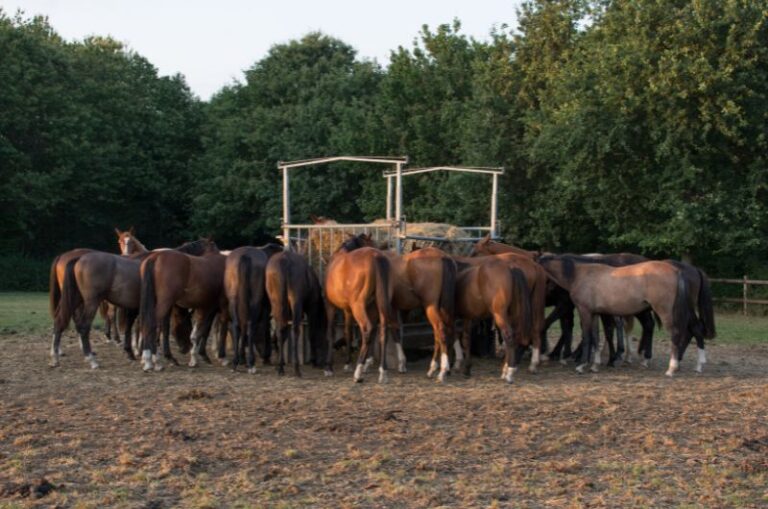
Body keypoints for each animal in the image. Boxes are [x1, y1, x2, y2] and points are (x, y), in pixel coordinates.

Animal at [139, 239, 226, 372]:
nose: (184, 349)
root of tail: (155, 257)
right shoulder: (209, 308)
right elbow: (203, 331)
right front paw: (198, 358)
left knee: (146, 324)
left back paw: (148, 359)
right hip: (164, 304)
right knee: (152, 324)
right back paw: (154, 362)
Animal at [223, 244, 283, 372]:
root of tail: (245, 256)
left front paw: (242, 358)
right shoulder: (266, 309)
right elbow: (265, 327)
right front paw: (266, 357)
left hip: (233, 300)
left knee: (238, 325)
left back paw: (236, 361)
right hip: (255, 301)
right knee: (251, 325)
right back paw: (251, 362)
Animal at [323, 234, 396, 383]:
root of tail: (376, 257)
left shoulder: (330, 305)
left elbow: (331, 332)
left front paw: (328, 367)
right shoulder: (347, 310)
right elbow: (348, 332)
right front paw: (347, 363)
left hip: (359, 306)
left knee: (367, 329)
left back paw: (358, 372)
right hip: (378, 306)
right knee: (382, 331)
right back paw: (382, 372)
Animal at [538, 255, 690, 376]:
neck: (579, 275)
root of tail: (675, 271)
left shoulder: (584, 311)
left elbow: (587, 337)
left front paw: (581, 365)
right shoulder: (595, 313)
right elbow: (595, 337)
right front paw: (595, 365)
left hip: (664, 311)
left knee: (674, 334)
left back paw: (671, 368)